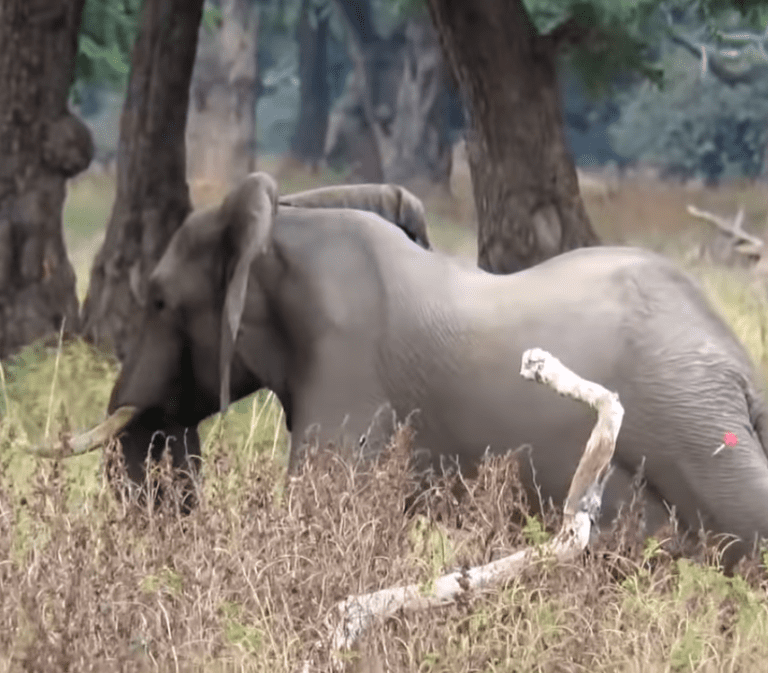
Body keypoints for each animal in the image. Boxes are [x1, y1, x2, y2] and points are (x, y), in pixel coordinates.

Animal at [39, 172, 768, 563]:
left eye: (159, 300)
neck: (286, 226)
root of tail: (740, 368)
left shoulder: (350, 372)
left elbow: (323, 509)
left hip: (692, 424)